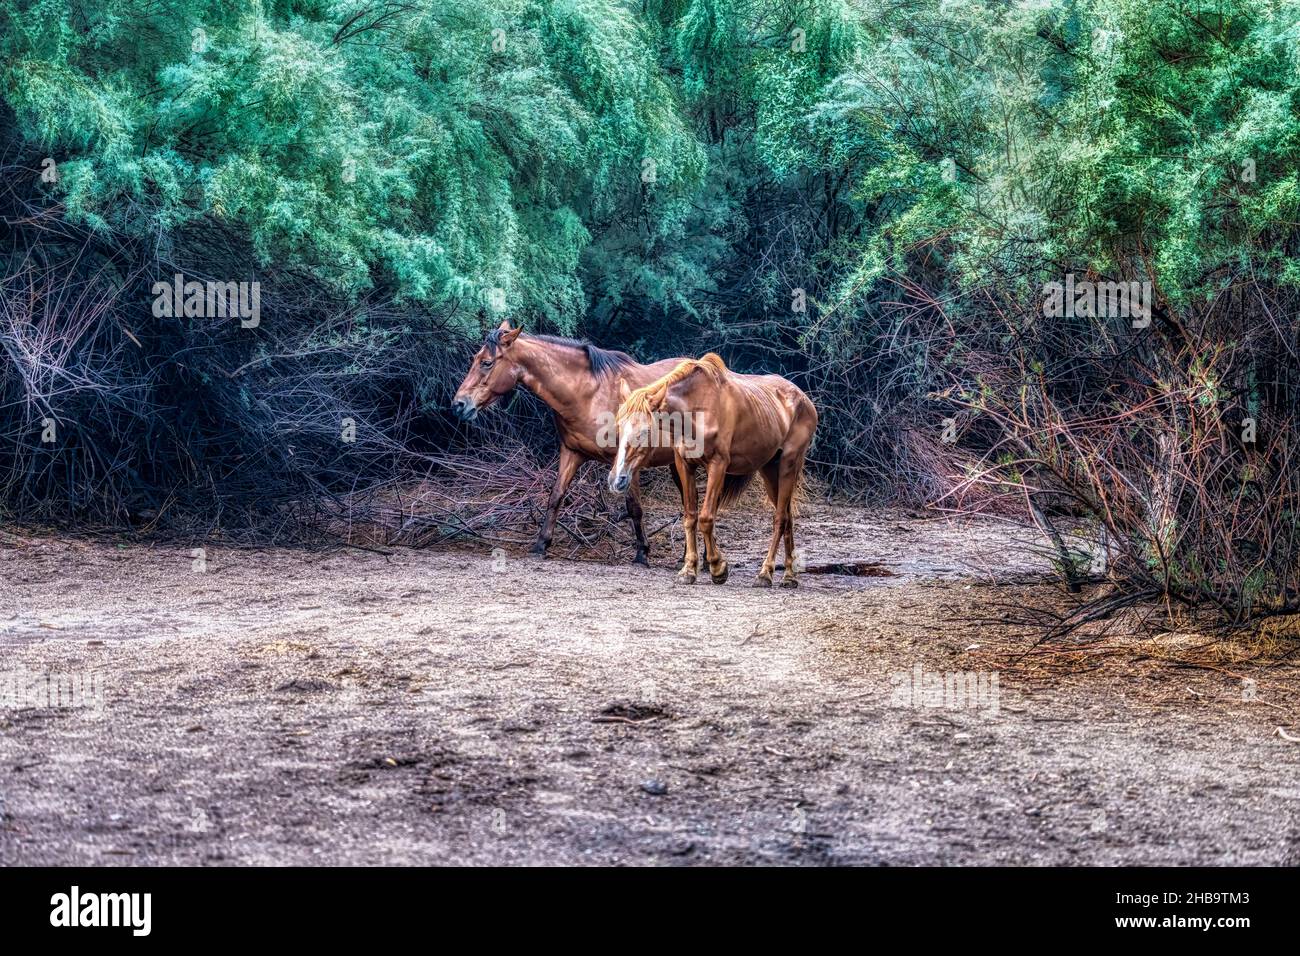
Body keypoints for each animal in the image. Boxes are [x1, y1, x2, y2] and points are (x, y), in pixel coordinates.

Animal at [451, 320, 688, 565]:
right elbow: (555, 496)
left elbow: (634, 506)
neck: (588, 394)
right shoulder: (571, 453)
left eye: (487, 363)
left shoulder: (628, 461)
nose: (458, 404)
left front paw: (642, 553)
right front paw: (541, 544)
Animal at [607, 353, 818, 588]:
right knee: (788, 517)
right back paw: (789, 575)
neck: (697, 410)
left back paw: (766, 574)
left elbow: (706, 518)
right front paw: (689, 570)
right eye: (618, 428)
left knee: (779, 518)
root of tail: (804, 399)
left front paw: (718, 568)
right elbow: (690, 517)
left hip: (790, 464)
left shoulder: (718, 465)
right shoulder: (684, 464)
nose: (616, 479)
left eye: (644, 432)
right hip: (769, 470)